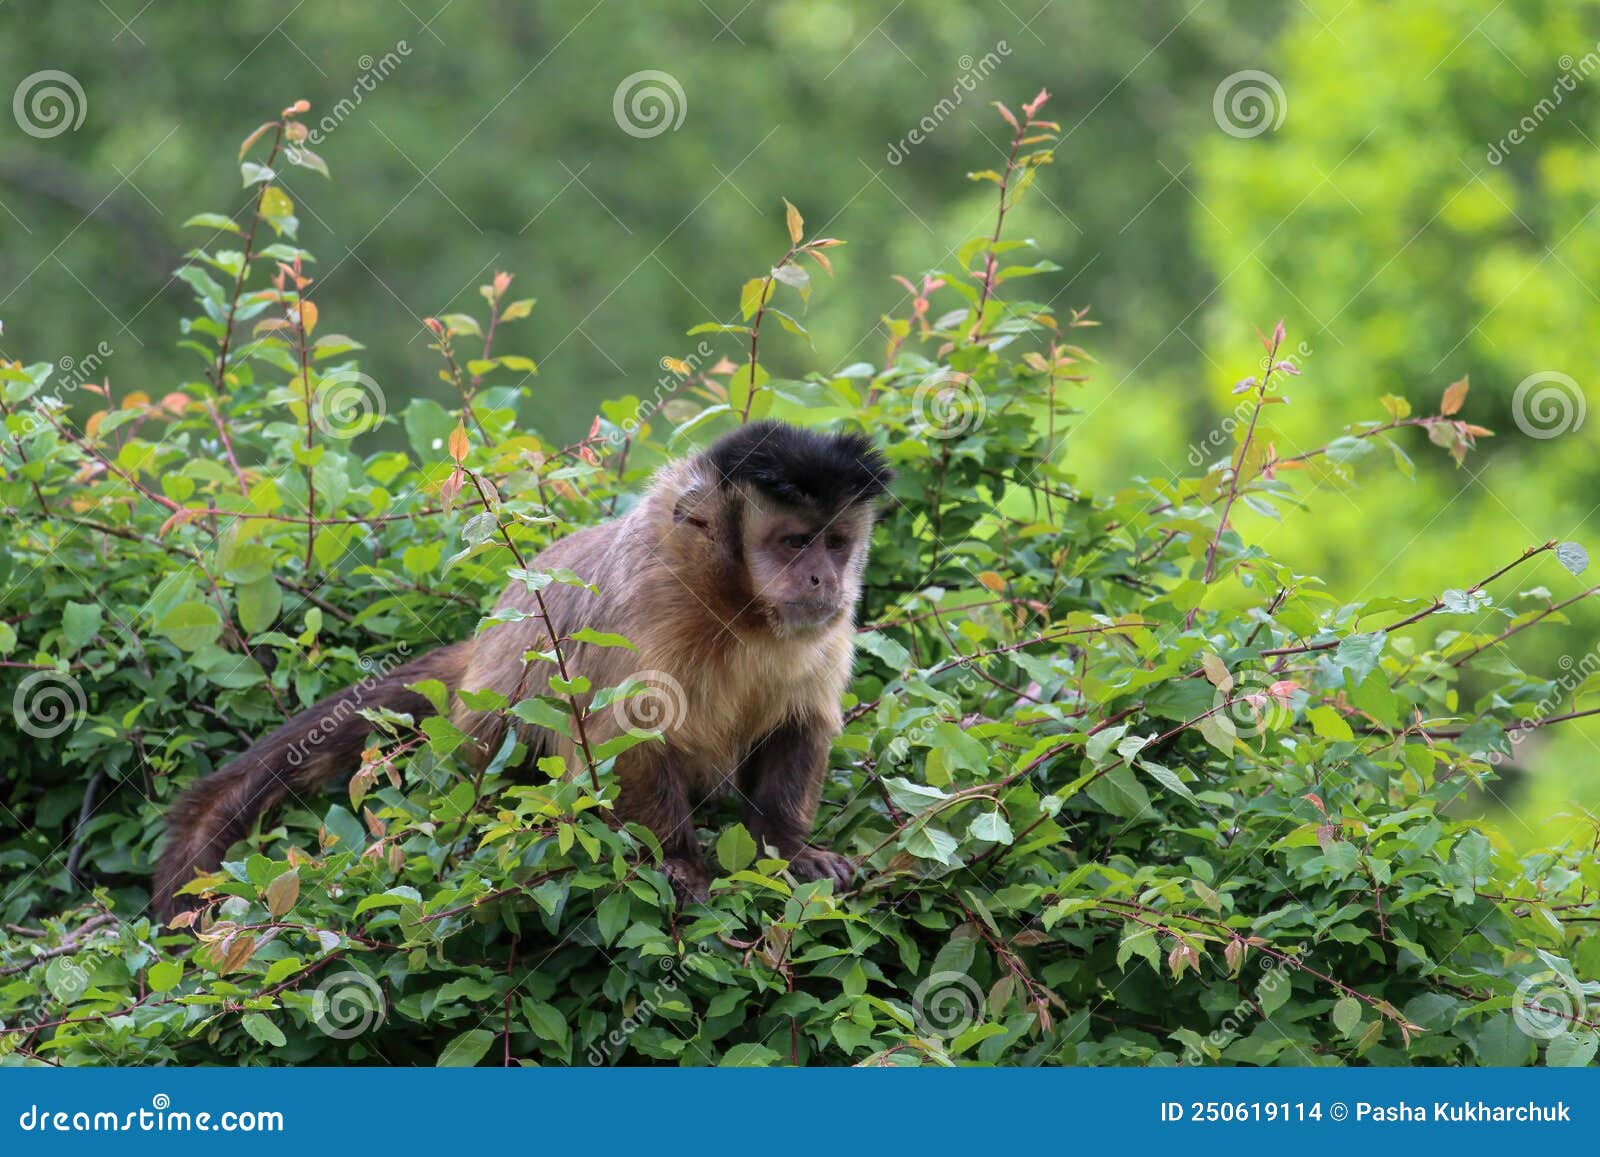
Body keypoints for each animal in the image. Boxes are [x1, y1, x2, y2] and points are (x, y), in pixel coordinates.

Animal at [153, 420, 892, 920]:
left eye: (835, 542)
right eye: (793, 543)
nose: (824, 578)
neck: (737, 609)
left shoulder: (824, 630)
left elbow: (800, 725)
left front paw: (788, 852)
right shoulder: (654, 599)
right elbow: (620, 736)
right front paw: (681, 864)